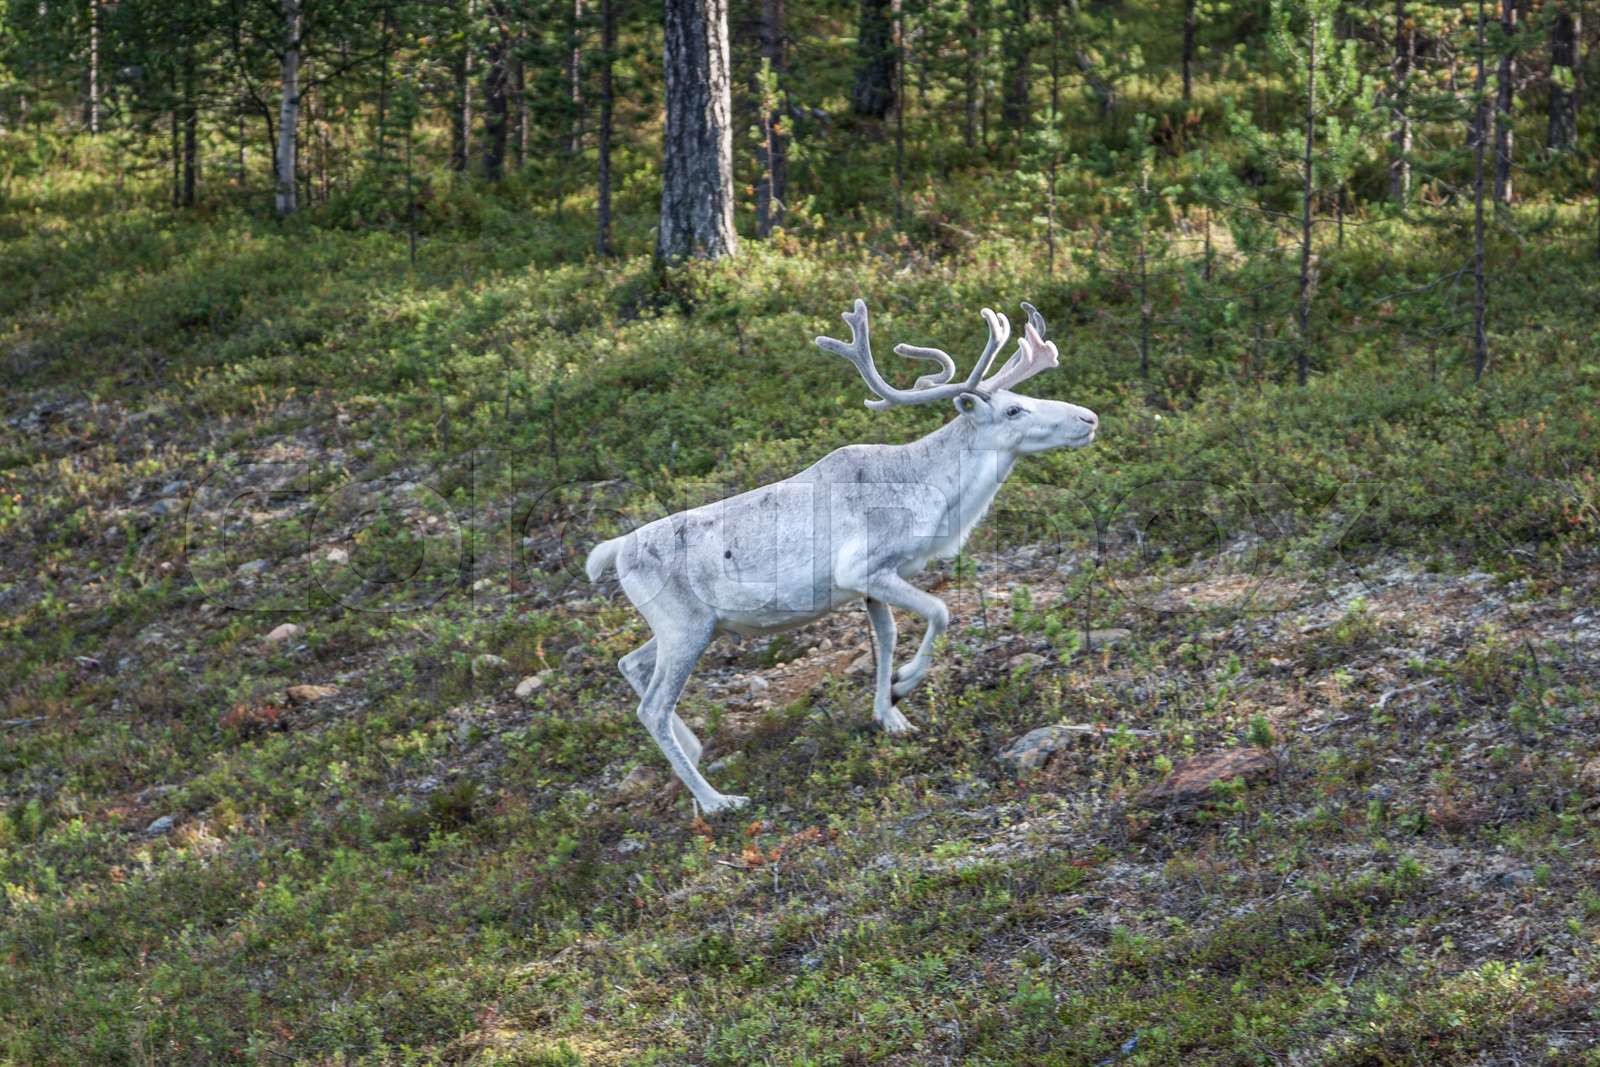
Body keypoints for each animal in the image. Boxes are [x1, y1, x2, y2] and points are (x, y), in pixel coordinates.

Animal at [585, 299, 1098, 814]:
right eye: (1014, 409)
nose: (1089, 418)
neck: (938, 497)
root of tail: (615, 552)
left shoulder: (870, 583)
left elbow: (887, 637)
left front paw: (889, 714)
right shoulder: (862, 568)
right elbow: (940, 611)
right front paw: (905, 683)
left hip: (691, 626)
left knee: (630, 663)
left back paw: (694, 750)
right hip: (684, 627)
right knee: (653, 707)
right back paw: (717, 801)